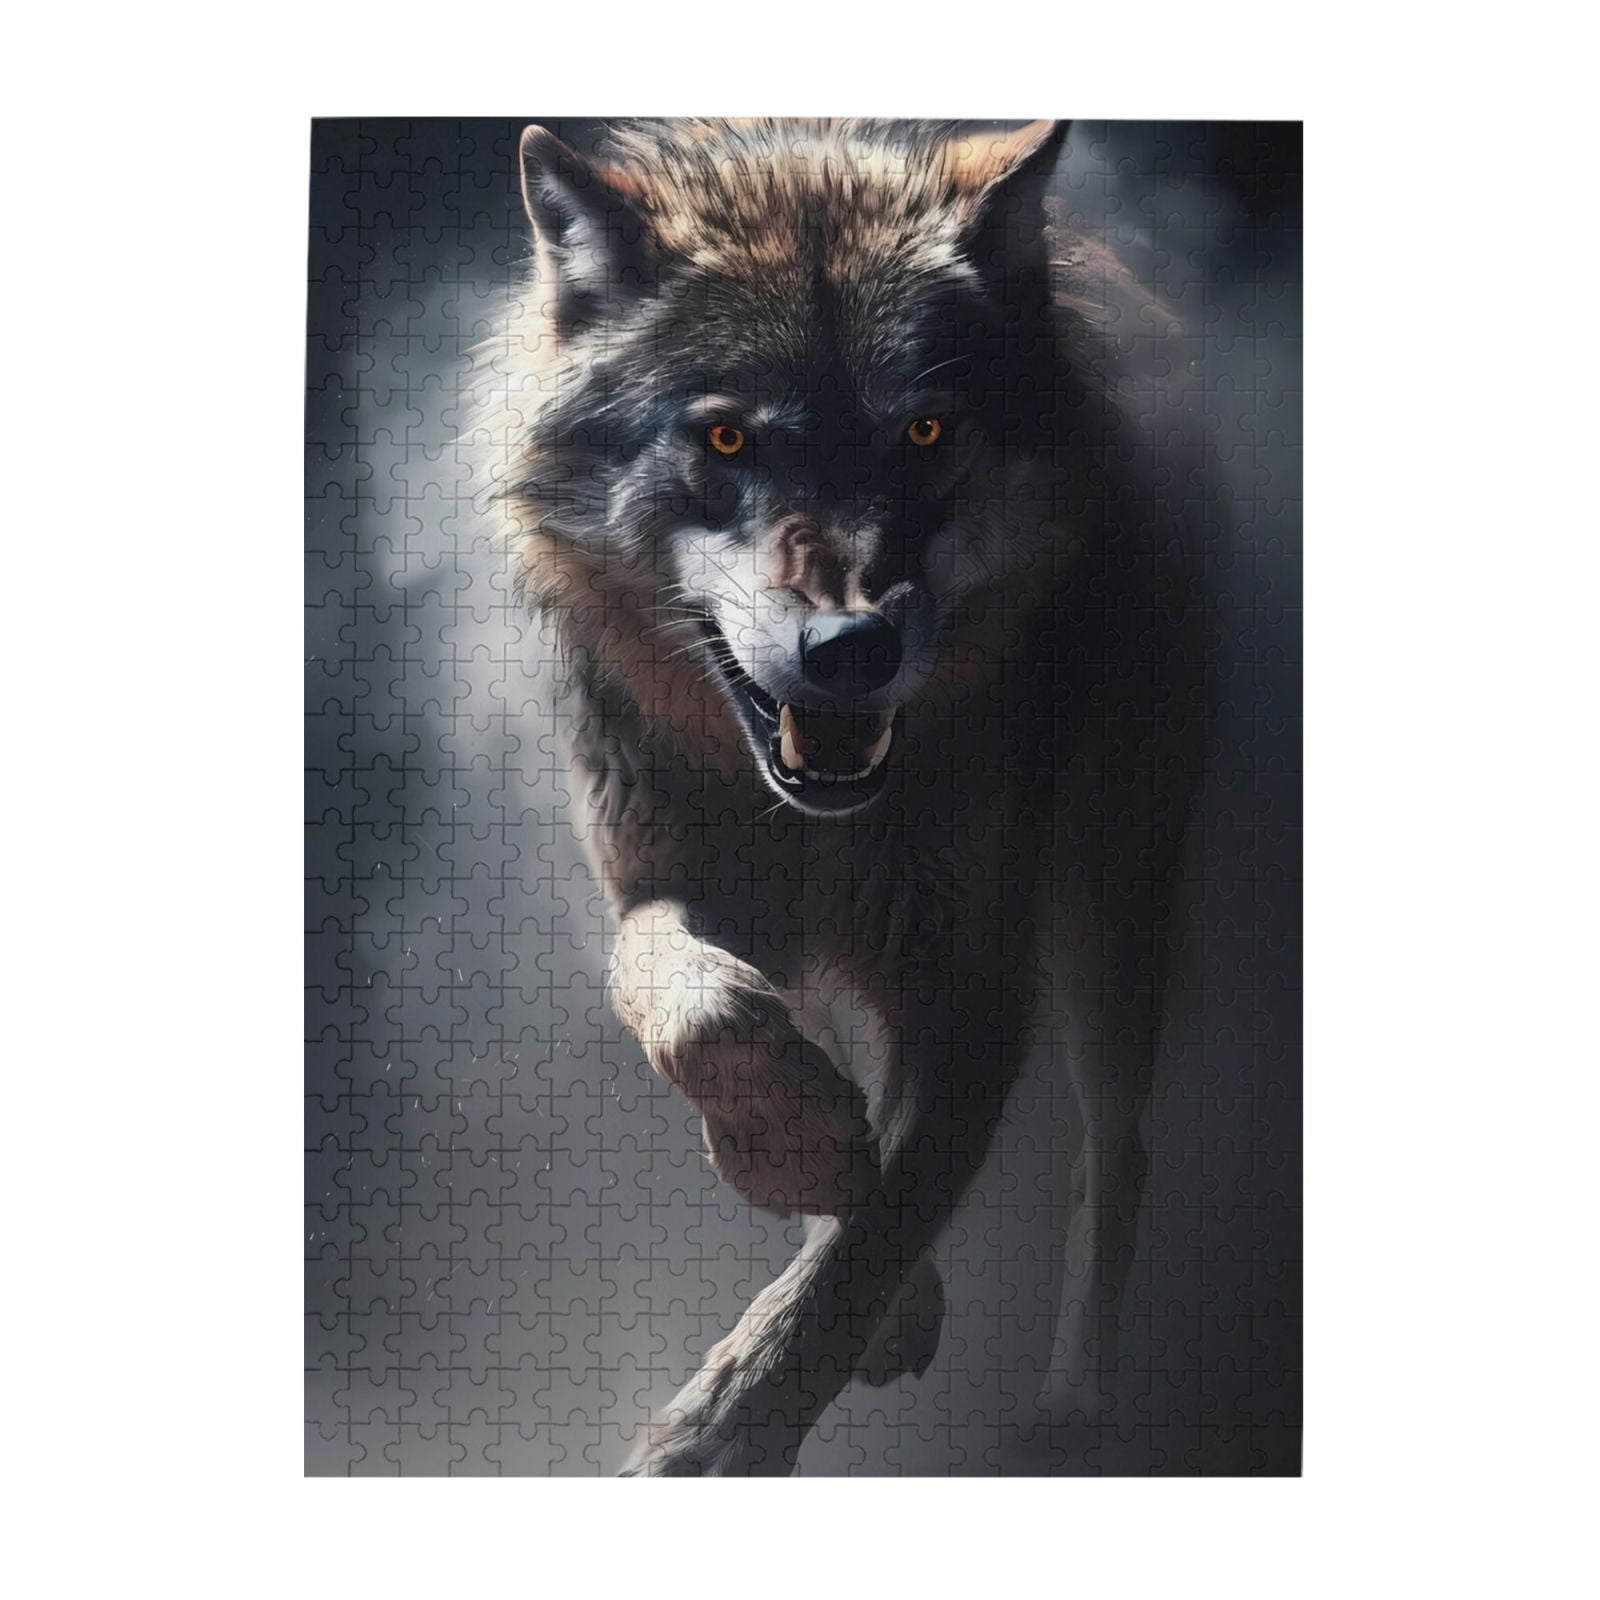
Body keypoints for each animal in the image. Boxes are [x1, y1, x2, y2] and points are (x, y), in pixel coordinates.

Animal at [474, 118, 1205, 1475]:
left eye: (924, 433)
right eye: (725, 442)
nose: (853, 648)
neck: (818, 819)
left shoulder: (973, 979)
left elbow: (871, 1238)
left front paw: (715, 1440)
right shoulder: (664, 888)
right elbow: (696, 1014)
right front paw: (807, 1156)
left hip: (1112, 902)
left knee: (1118, 1153)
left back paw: (1074, 1410)